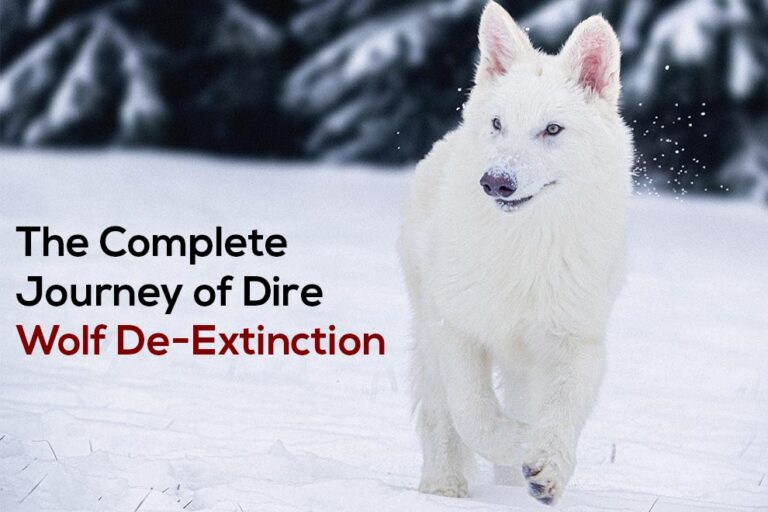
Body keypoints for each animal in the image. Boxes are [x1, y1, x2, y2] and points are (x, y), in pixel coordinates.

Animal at [399, 1, 633, 505]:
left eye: (552, 129)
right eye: (497, 124)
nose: (495, 182)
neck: (525, 245)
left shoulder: (579, 342)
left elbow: (561, 413)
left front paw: (549, 465)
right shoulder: (456, 330)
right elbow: (475, 414)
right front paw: (523, 441)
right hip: (428, 326)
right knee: (441, 416)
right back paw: (443, 485)